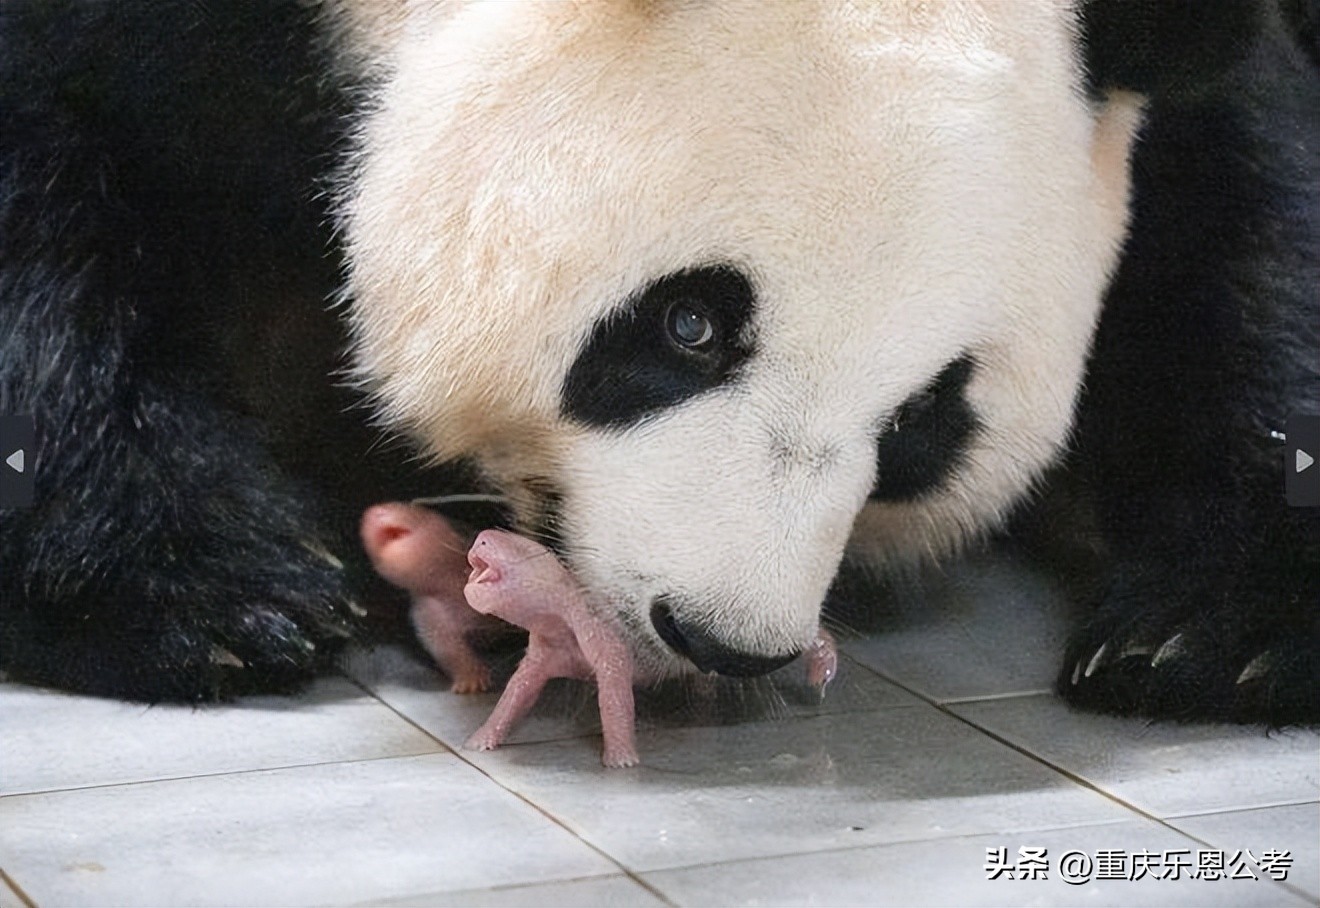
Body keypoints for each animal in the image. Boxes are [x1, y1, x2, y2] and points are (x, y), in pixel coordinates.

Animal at [1, 1, 1316, 723]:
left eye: (924, 422)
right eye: (689, 325)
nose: (725, 636)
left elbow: (1247, 212)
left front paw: (1212, 632)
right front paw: (214, 592)